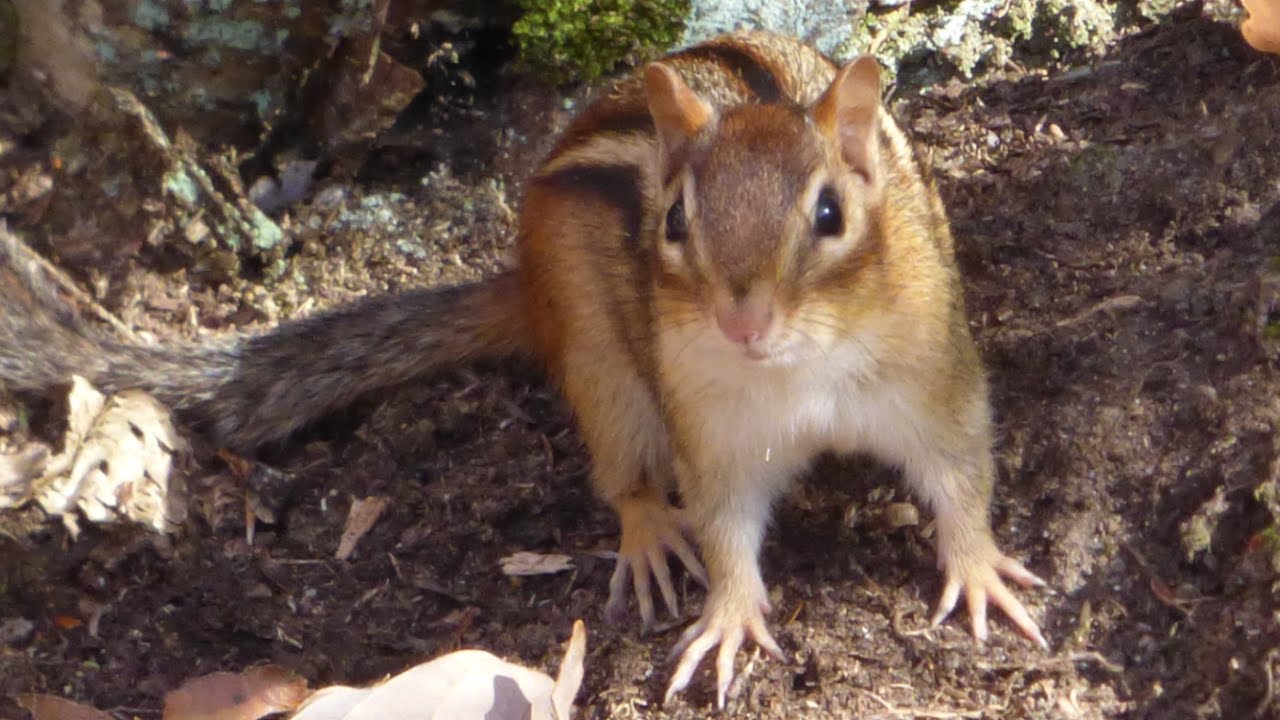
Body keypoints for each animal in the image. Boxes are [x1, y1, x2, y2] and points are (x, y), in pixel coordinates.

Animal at [0, 31, 1046, 708]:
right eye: (674, 220)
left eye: (830, 215)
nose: (741, 321)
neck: (802, 367)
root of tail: (525, 282)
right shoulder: (715, 432)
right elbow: (723, 523)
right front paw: (727, 615)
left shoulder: (932, 383)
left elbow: (961, 476)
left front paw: (978, 571)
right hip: (605, 370)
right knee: (624, 473)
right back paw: (645, 533)